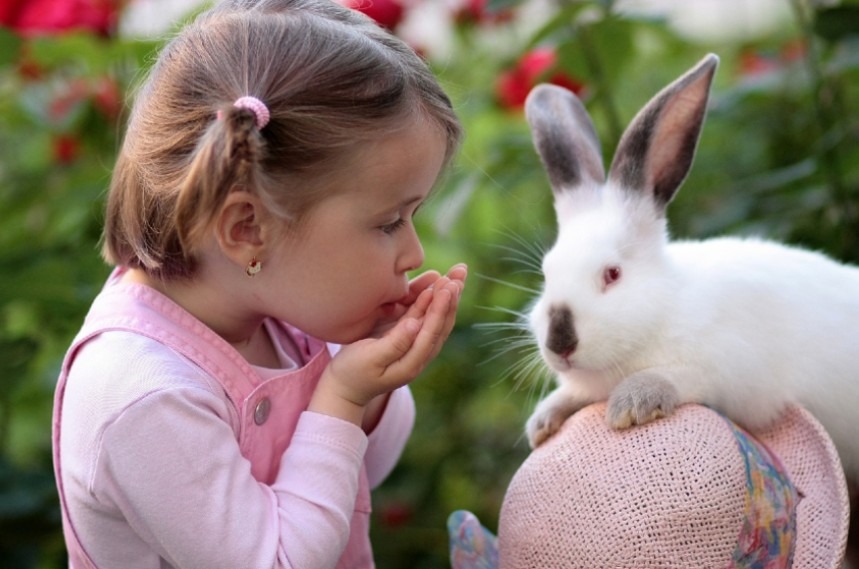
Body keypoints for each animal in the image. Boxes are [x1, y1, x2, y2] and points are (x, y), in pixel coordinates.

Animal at [521, 52, 859, 486]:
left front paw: (633, 403)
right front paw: (541, 423)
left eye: (612, 274)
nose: (559, 343)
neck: (665, 307)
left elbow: (681, 377)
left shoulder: (729, 371)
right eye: (546, 274)